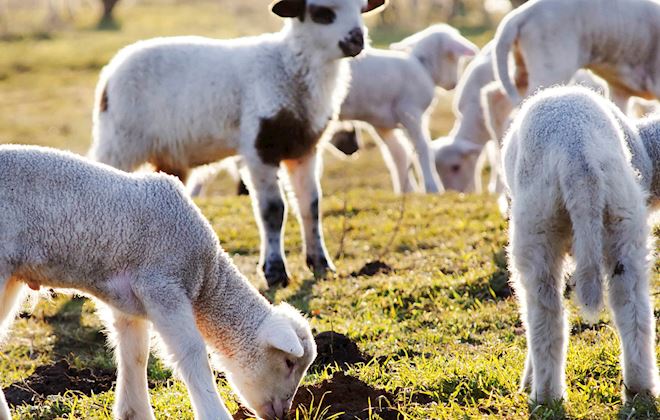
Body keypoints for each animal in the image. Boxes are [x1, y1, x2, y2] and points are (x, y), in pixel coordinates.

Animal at [0, 145, 316, 420]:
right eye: (289, 363)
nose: (283, 413)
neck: (206, 276)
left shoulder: (127, 302)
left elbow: (135, 354)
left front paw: (134, 413)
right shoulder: (162, 286)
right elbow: (192, 353)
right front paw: (215, 414)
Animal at [88, 0, 388, 288]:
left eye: (362, 9)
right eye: (322, 13)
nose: (357, 40)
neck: (287, 66)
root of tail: (110, 74)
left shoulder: (304, 149)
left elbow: (310, 205)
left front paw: (320, 263)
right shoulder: (259, 147)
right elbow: (273, 210)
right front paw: (275, 272)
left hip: (167, 156)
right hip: (119, 140)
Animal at [337, 24, 478, 194]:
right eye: (454, 58)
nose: (454, 84)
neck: (424, 67)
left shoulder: (381, 123)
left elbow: (398, 154)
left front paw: (407, 190)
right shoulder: (410, 111)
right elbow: (422, 148)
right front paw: (432, 187)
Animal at [502, 86, 659, 404]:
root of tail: (579, 156)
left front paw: (525, 381)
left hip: (536, 226)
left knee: (545, 315)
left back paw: (544, 395)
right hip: (623, 217)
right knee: (632, 308)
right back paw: (639, 388)